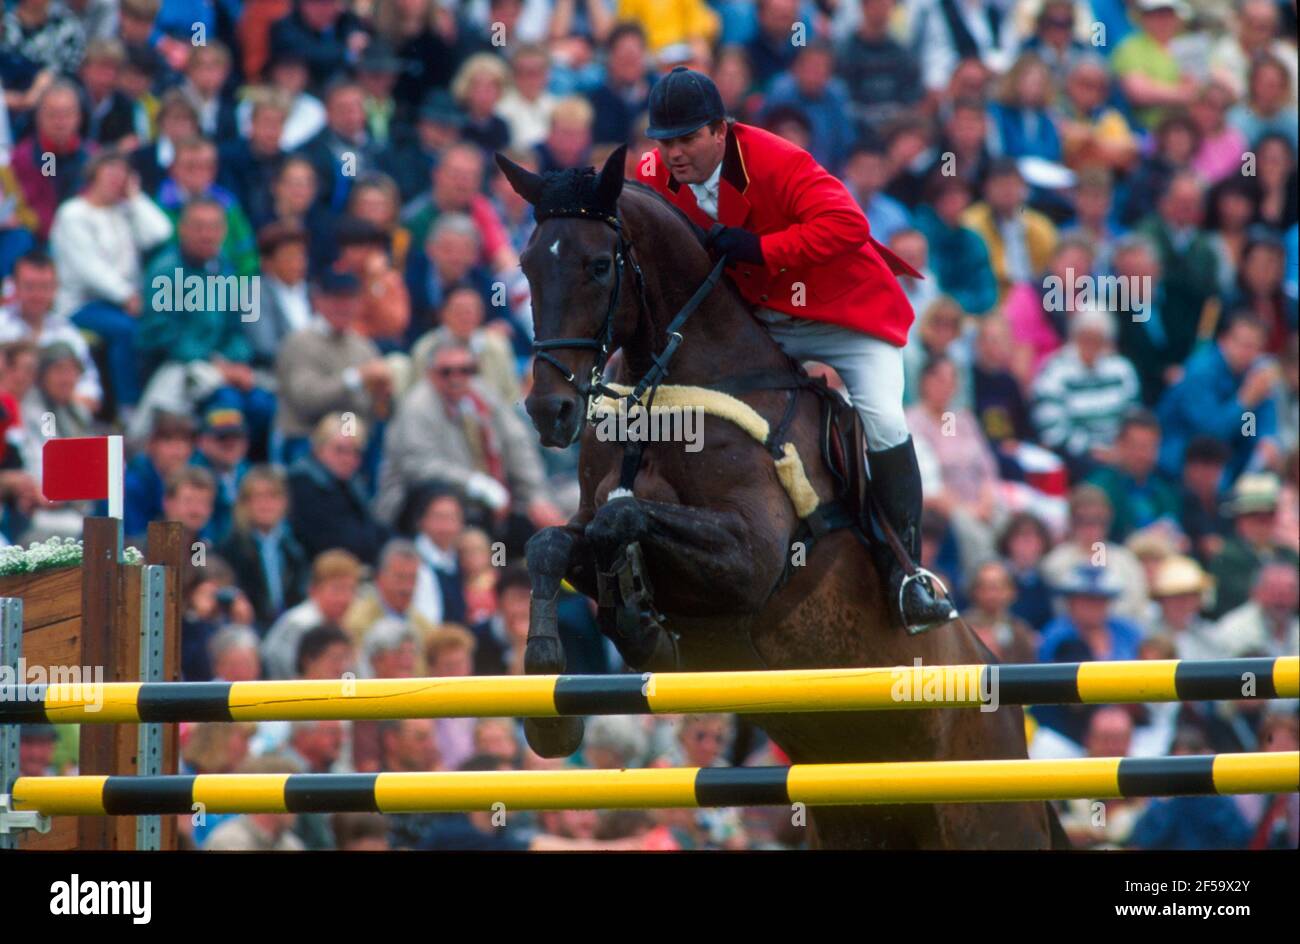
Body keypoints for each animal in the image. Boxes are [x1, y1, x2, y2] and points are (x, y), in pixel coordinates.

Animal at [491, 146, 1060, 852]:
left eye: (599, 264)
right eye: (526, 266)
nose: (550, 411)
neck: (669, 397)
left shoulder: (754, 557)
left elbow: (623, 518)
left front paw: (644, 631)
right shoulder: (588, 521)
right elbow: (553, 542)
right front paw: (552, 700)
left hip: (984, 815)